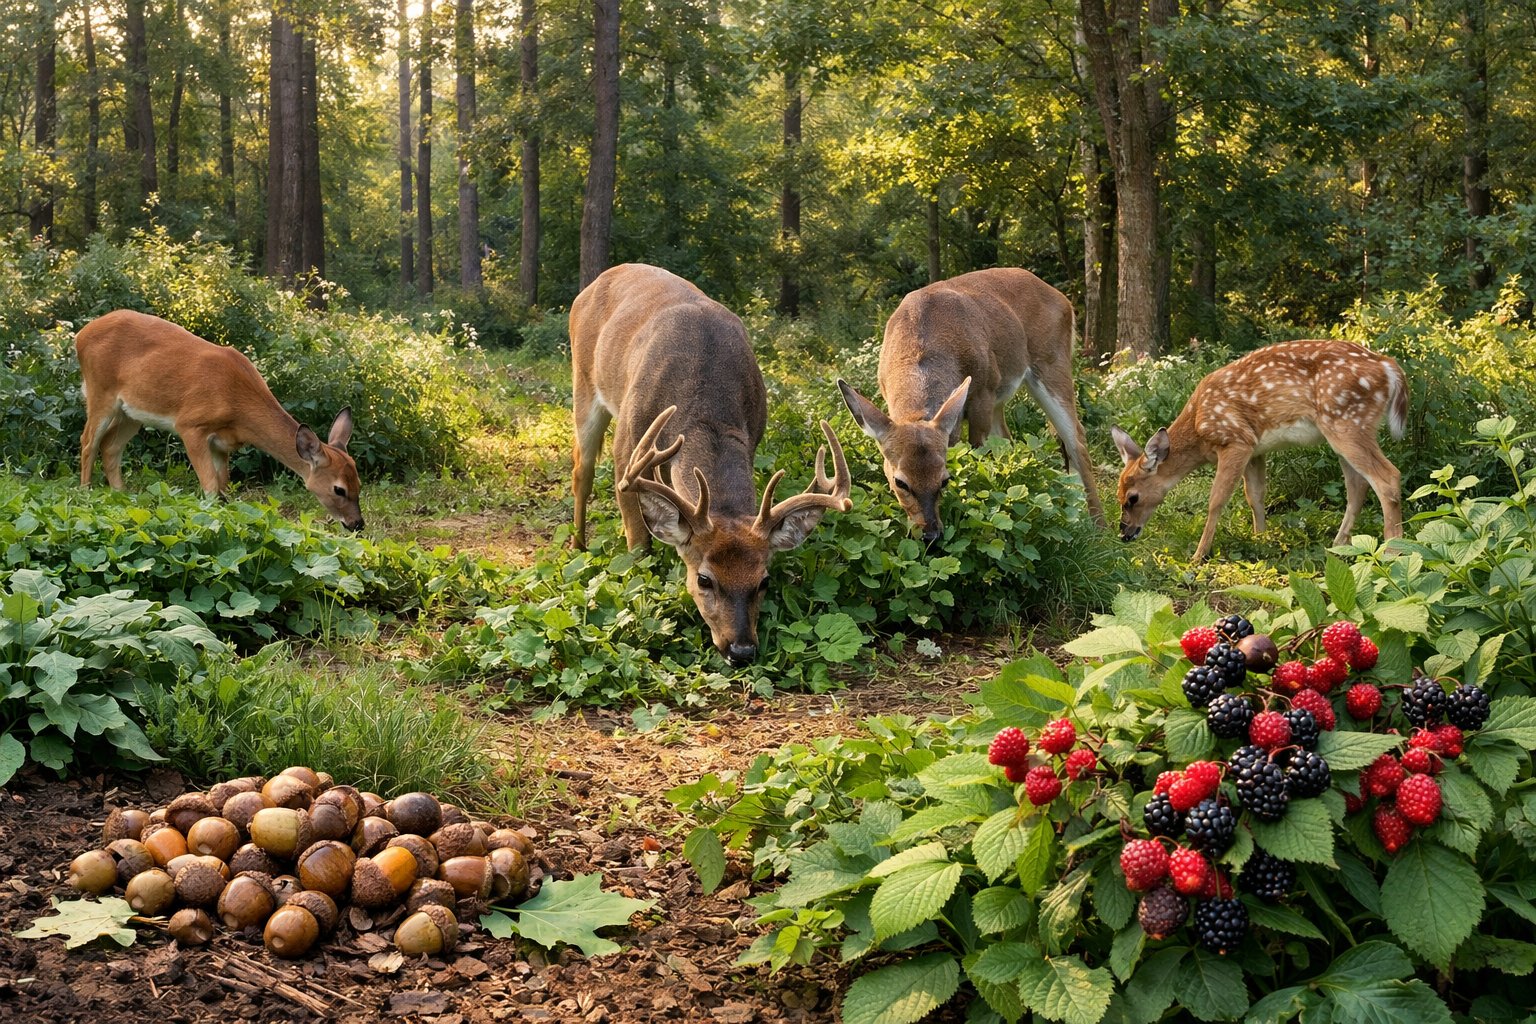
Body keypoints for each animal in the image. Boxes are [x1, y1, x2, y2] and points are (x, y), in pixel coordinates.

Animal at [75, 309, 364, 531]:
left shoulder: (221, 444)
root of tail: (81, 335)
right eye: (339, 489)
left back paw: (122, 495)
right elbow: (211, 488)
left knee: (110, 446)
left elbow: (225, 489)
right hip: (100, 392)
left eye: (358, 484)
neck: (238, 406)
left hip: (132, 412)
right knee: (88, 441)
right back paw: (87, 492)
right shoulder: (191, 425)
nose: (357, 524)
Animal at [570, 263, 852, 667]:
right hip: (583, 382)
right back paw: (578, 546)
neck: (704, 406)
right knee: (582, 468)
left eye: (764, 581)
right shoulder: (628, 451)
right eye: (704, 579)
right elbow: (639, 547)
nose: (741, 649)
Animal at [836, 267, 1106, 543]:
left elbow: (979, 458)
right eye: (900, 482)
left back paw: (1099, 529)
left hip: (1051, 364)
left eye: (945, 480)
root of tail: (1064, 300)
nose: (931, 535)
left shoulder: (983, 394)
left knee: (1076, 438)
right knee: (1009, 438)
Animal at [1111, 339, 1408, 563]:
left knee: (1388, 477)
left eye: (1133, 498)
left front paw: (1198, 556)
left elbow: (1217, 499)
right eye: (1118, 496)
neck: (1198, 428)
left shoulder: (1235, 441)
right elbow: (1255, 495)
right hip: (1342, 430)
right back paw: (1337, 546)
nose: (1124, 533)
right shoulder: (1255, 450)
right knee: (1357, 485)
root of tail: (1389, 366)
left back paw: (1393, 552)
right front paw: (1261, 540)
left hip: (1347, 421)